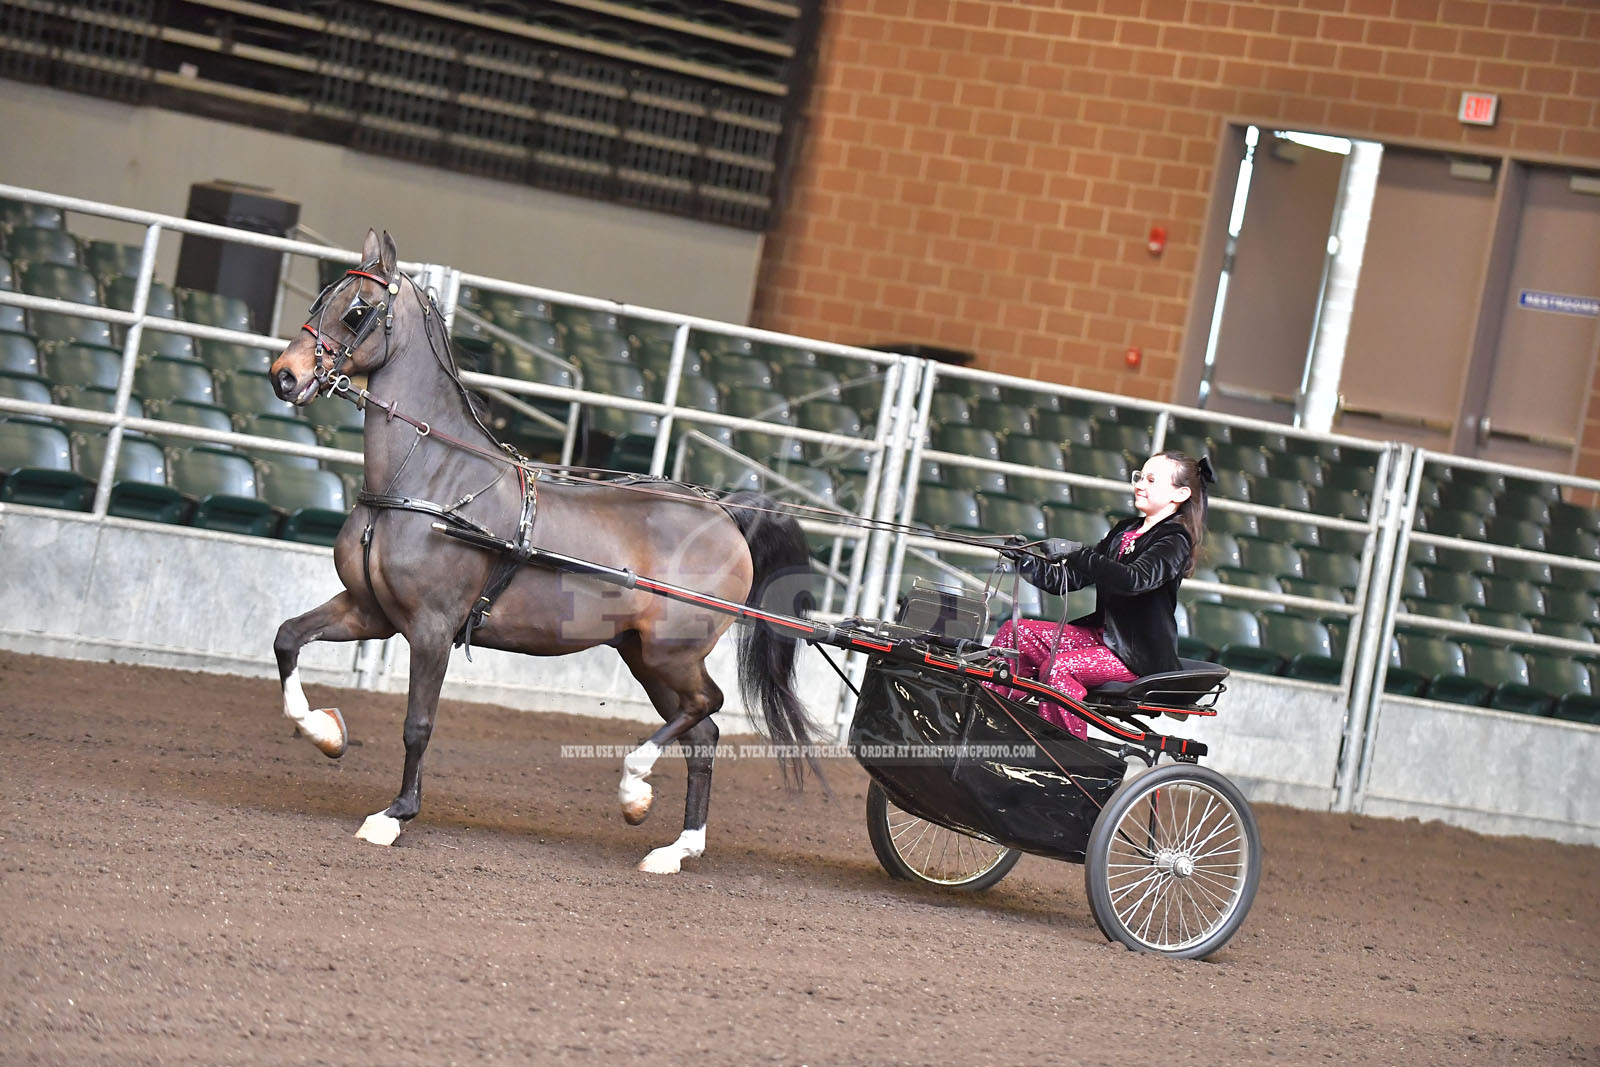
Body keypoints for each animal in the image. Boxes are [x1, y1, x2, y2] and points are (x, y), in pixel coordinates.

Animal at [267, 229, 821, 873]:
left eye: (357, 311)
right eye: (318, 301)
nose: (283, 376)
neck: (428, 479)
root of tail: (725, 513)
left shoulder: (431, 628)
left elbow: (417, 723)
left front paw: (395, 815)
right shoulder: (370, 612)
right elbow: (287, 638)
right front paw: (326, 732)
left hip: (672, 651)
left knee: (708, 705)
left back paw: (634, 788)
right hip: (644, 655)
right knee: (702, 732)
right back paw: (676, 847)